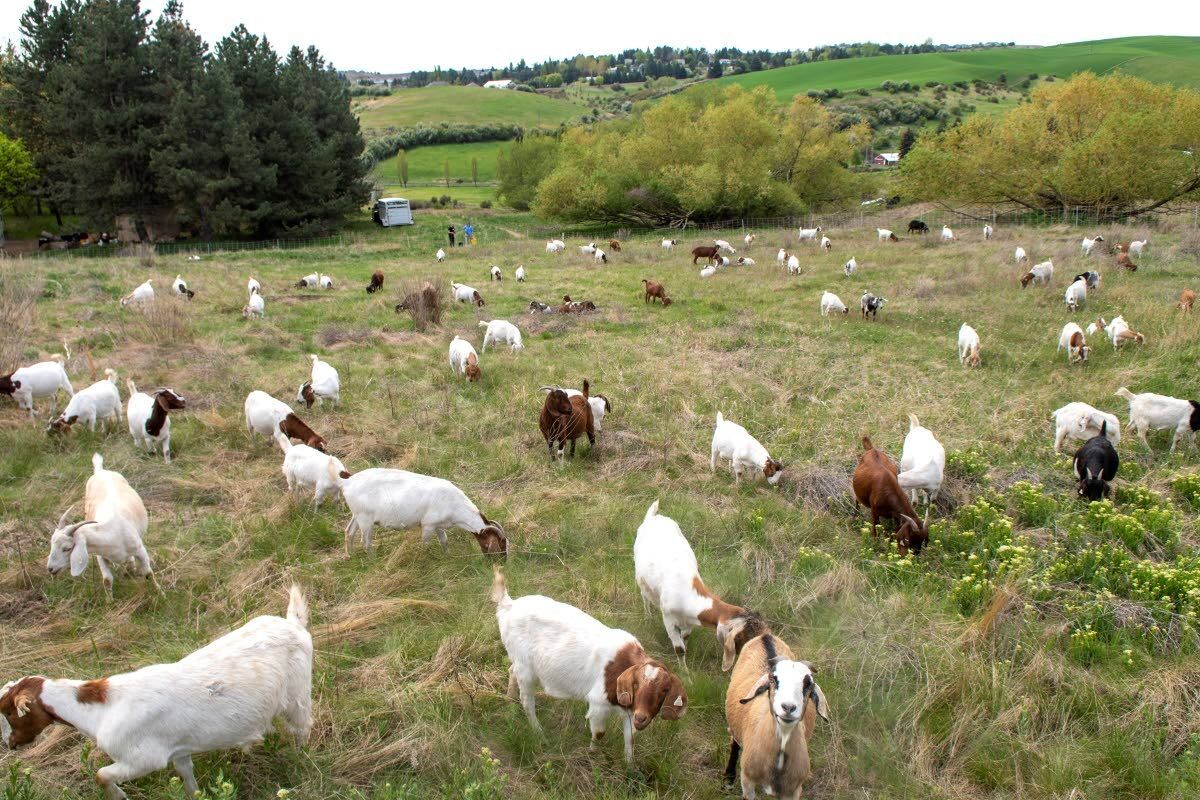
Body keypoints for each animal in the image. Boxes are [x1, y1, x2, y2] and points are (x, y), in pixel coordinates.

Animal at [1, 585, 311, 798]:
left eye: (9, 713)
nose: (10, 744)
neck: (102, 709)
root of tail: (292, 622)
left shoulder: (142, 759)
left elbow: (101, 775)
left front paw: (119, 796)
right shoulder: (179, 750)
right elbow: (187, 777)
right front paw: (195, 794)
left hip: (298, 697)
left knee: (303, 729)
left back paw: (301, 761)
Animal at [45, 453, 154, 593]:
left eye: (67, 548)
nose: (50, 569)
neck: (112, 533)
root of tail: (100, 471)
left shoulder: (141, 551)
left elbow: (148, 574)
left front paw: (160, 593)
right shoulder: (101, 556)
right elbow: (107, 580)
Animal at [337, 465, 507, 555]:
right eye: (501, 544)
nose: (502, 562)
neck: (454, 503)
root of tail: (347, 482)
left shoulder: (438, 525)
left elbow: (444, 540)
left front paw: (447, 555)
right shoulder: (428, 525)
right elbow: (425, 544)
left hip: (357, 516)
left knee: (349, 532)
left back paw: (350, 555)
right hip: (366, 520)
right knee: (365, 542)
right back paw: (372, 559)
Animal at [491, 568, 685, 765]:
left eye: (664, 690)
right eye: (636, 684)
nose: (642, 718)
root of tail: (510, 605)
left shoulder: (630, 711)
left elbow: (630, 738)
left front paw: (630, 765)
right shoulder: (598, 703)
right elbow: (599, 733)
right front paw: (592, 754)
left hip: (518, 660)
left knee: (511, 671)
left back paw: (509, 700)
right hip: (526, 668)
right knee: (526, 700)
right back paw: (538, 732)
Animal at [634, 501, 765, 666]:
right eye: (745, 637)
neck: (688, 596)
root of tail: (653, 517)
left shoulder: (689, 623)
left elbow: (685, 639)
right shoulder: (669, 619)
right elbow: (679, 648)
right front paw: (684, 671)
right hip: (641, 578)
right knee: (644, 596)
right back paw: (648, 617)